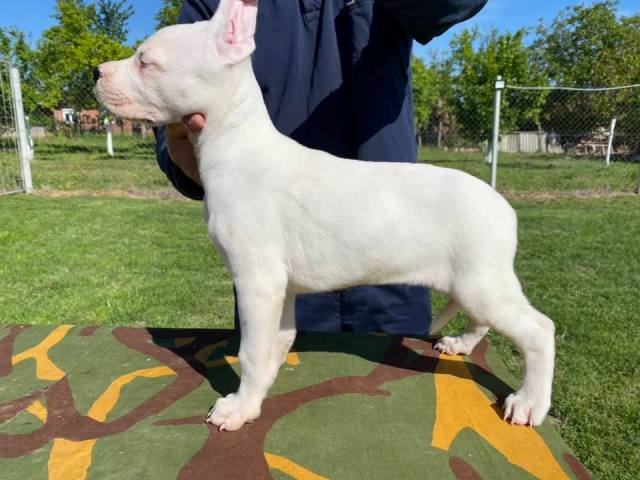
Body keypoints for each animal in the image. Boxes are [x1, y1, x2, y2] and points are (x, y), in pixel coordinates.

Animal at [95, 0, 556, 432]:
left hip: (482, 281)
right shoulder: (280, 286)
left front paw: (240, 407)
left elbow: (250, 351)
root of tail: (503, 206)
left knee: (539, 330)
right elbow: (276, 341)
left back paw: (529, 402)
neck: (236, 143)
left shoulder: (257, 278)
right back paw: (460, 344)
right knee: (485, 322)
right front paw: (264, 384)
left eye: (146, 60)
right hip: (477, 282)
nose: (96, 71)